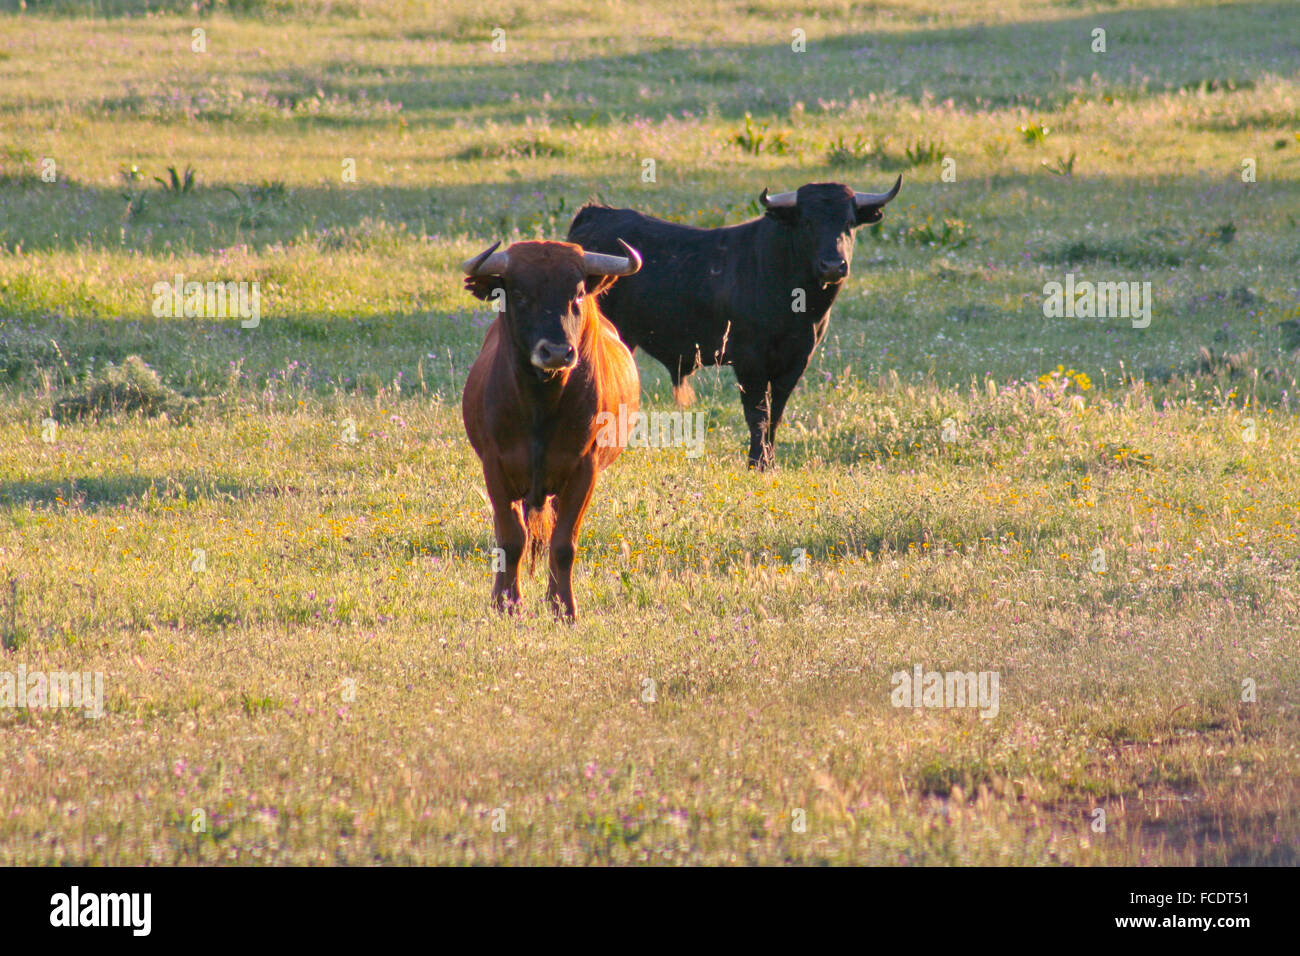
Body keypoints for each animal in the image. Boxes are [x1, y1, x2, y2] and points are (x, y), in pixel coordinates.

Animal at [460, 239, 641, 620]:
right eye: (519, 294)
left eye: (577, 293)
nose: (557, 352)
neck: (540, 407)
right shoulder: (495, 468)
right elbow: (511, 539)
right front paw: (507, 603)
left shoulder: (583, 471)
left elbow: (563, 543)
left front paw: (563, 607)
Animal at [567, 177, 902, 469]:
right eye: (807, 222)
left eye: (849, 222)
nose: (833, 266)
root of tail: (595, 214)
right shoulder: (750, 361)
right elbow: (757, 413)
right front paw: (756, 462)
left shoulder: (796, 361)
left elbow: (776, 413)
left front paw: (769, 461)